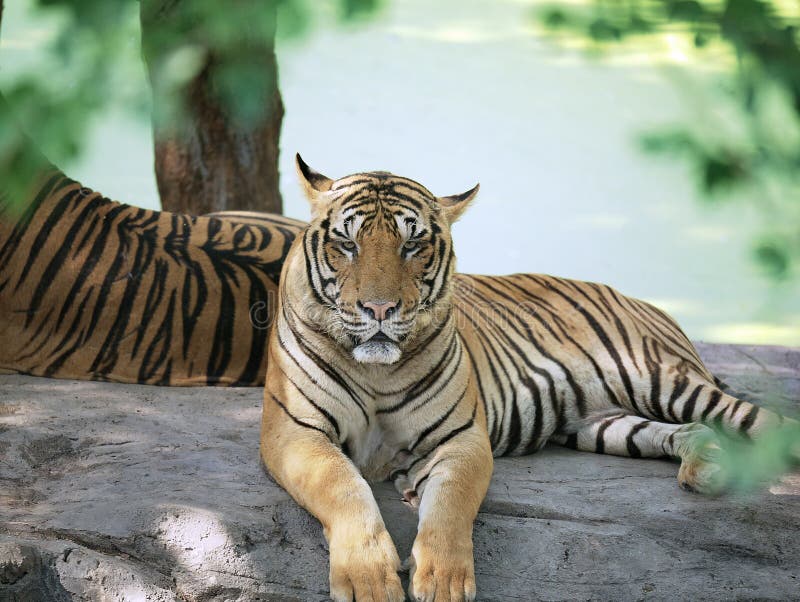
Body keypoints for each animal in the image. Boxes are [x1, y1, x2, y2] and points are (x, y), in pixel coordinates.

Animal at [260, 155, 799, 602]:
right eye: (347, 243)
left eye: (412, 244)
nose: (379, 309)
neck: (374, 369)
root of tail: (641, 299)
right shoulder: (294, 432)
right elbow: (343, 486)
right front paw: (369, 579)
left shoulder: (462, 436)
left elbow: (451, 504)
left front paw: (443, 581)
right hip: (604, 424)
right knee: (690, 429)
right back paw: (706, 469)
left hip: (662, 379)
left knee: (760, 422)